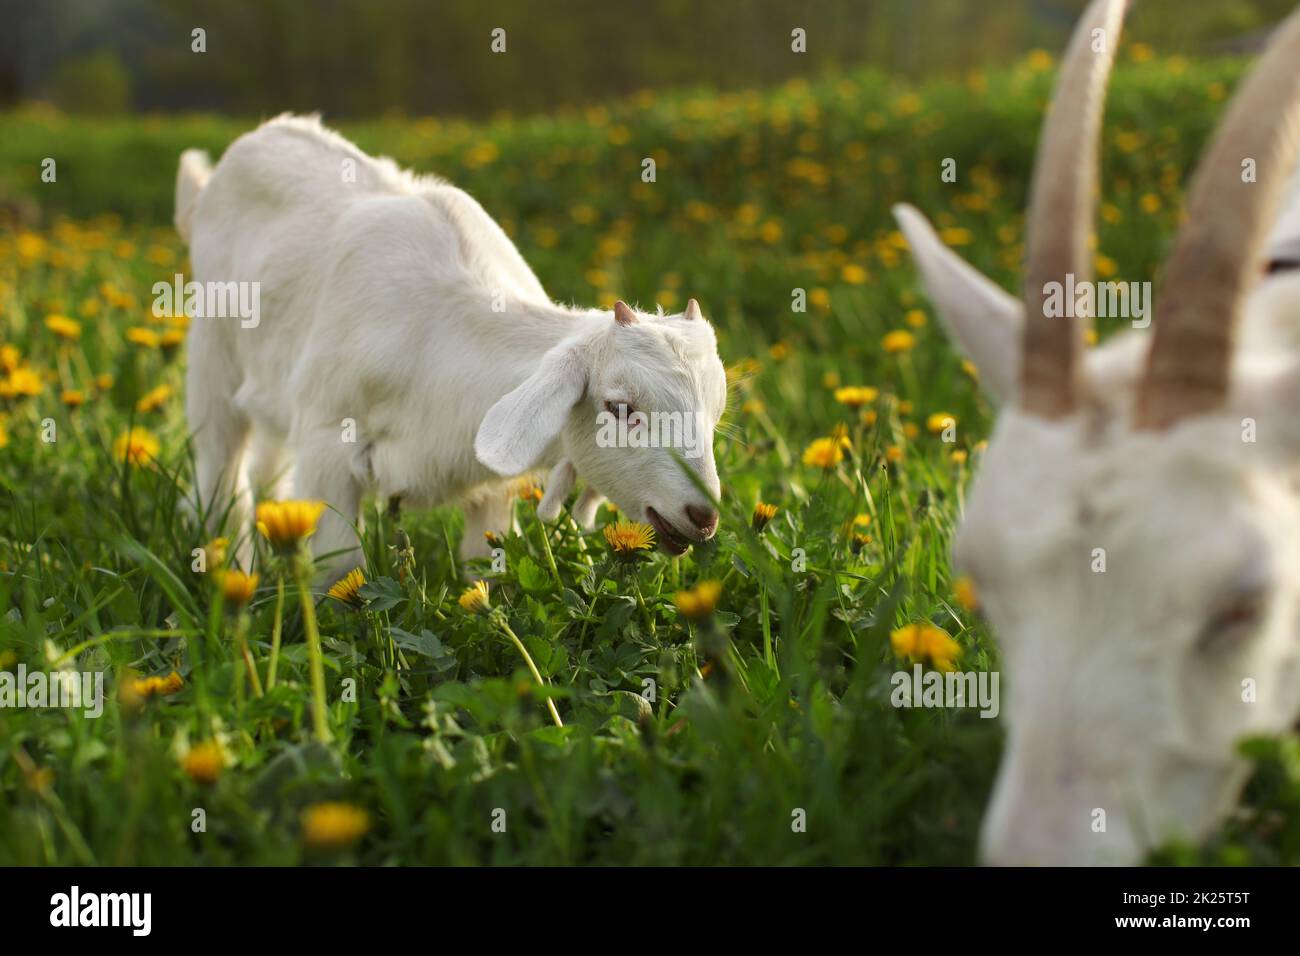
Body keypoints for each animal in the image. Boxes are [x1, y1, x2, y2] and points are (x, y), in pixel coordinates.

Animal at [175, 115, 726, 577]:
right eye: (620, 407)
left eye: (714, 413)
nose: (702, 515)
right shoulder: (328, 441)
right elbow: (341, 570)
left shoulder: (491, 486)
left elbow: (486, 573)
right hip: (211, 356)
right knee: (223, 474)